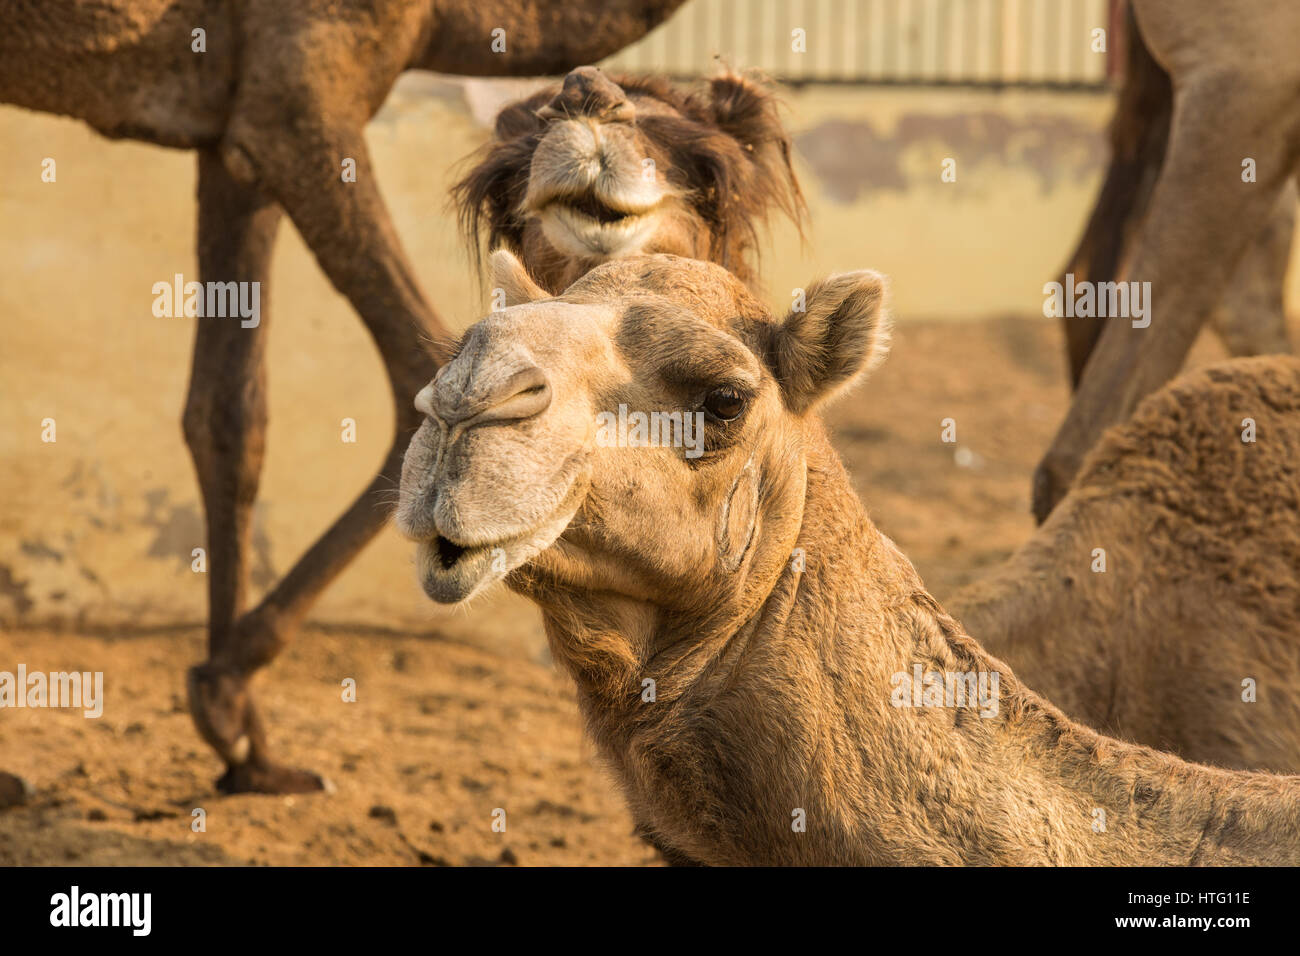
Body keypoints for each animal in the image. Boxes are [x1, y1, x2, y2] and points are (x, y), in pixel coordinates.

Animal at [1, 0, 689, 793]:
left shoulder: (232, 136)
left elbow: (229, 412)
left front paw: (249, 752)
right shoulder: (301, 90)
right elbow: (419, 361)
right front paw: (225, 685)